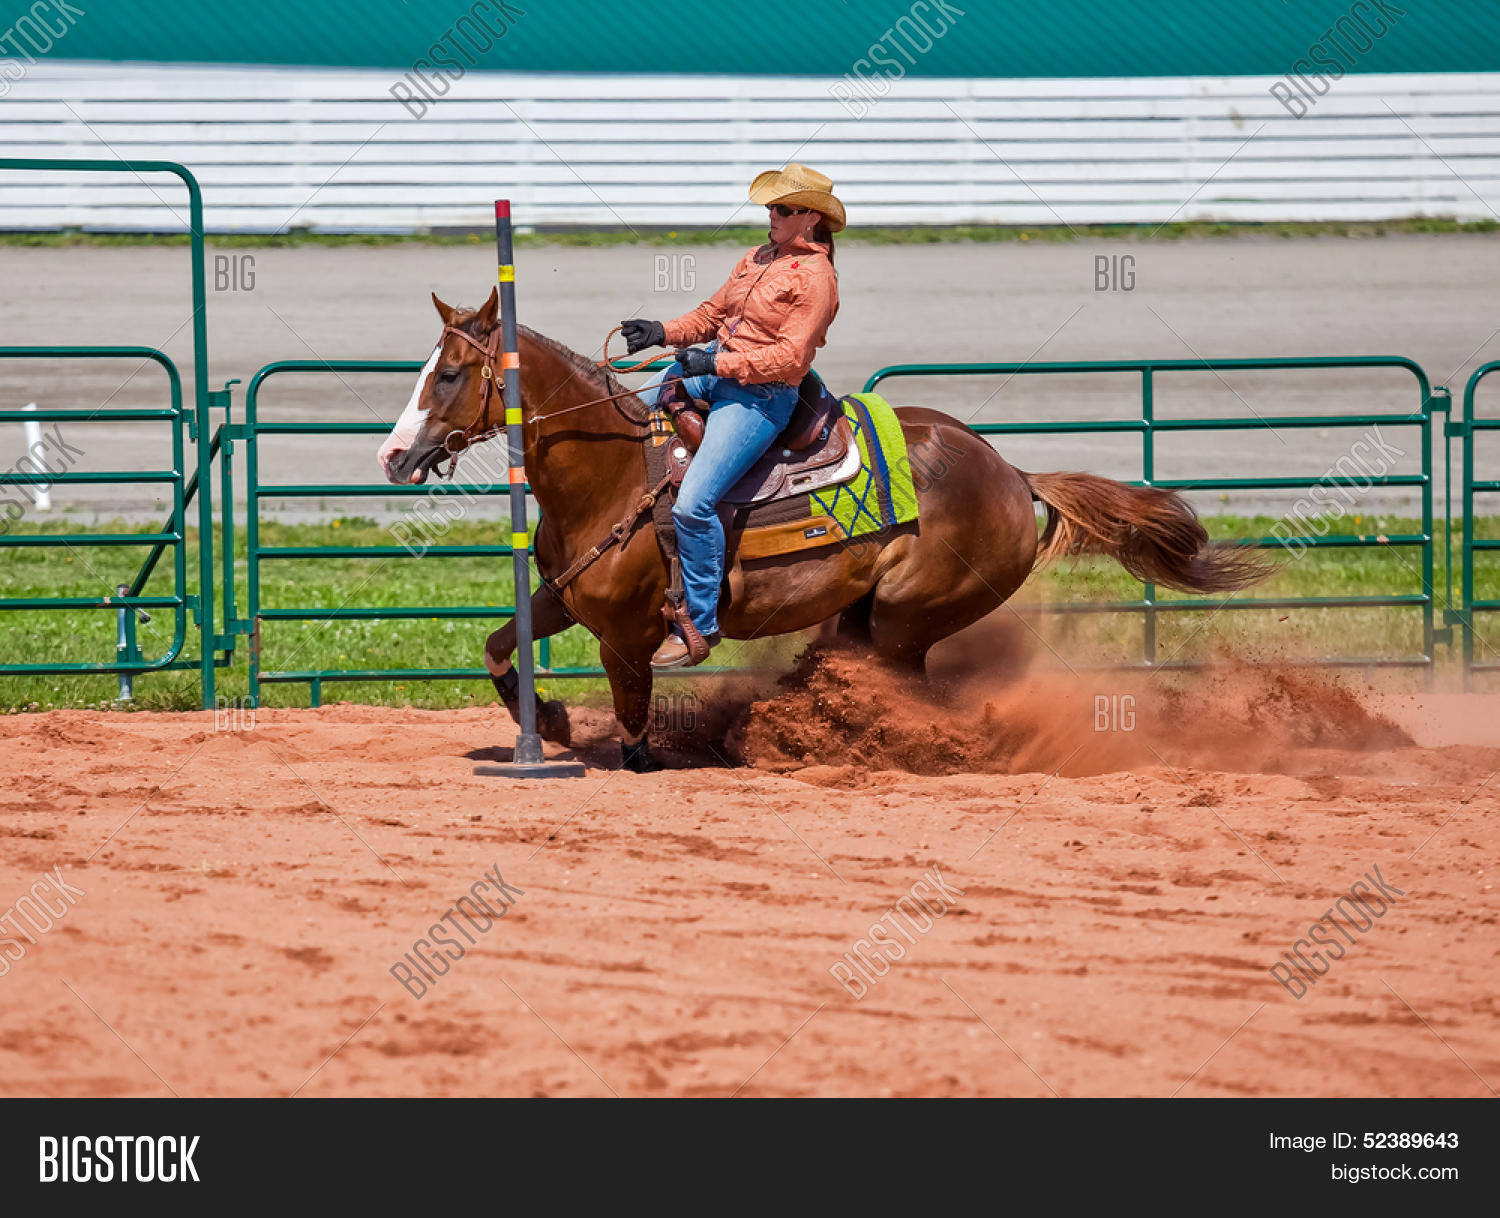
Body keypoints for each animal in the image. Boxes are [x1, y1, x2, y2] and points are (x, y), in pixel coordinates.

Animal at [378, 288, 1268, 772]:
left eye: (449, 375)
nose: (392, 456)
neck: (614, 474)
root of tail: (1014, 476)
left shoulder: (628, 634)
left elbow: (634, 727)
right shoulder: (564, 601)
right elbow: (499, 648)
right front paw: (554, 722)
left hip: (909, 618)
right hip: (869, 615)